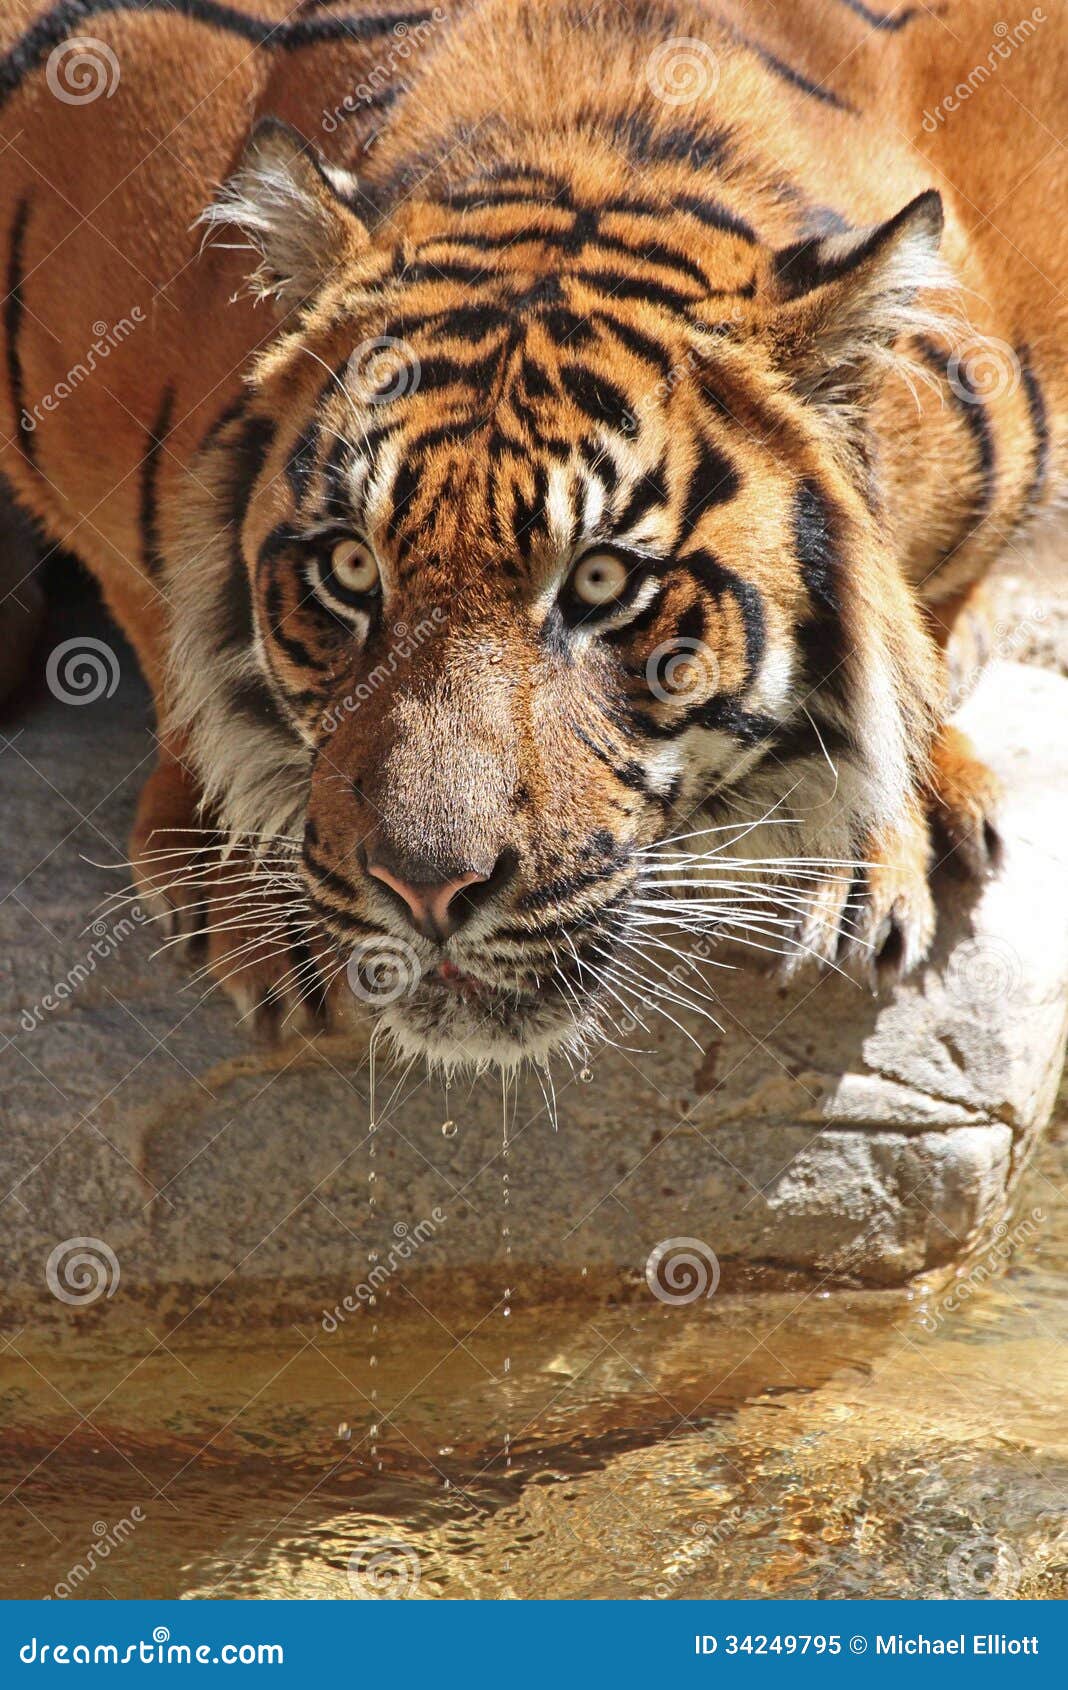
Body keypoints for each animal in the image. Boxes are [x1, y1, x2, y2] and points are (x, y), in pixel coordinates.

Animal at [0, 0, 1063, 1070]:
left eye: (600, 582)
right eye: (351, 567)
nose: (425, 892)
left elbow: (915, 628)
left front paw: (858, 851)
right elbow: (167, 627)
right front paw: (249, 885)